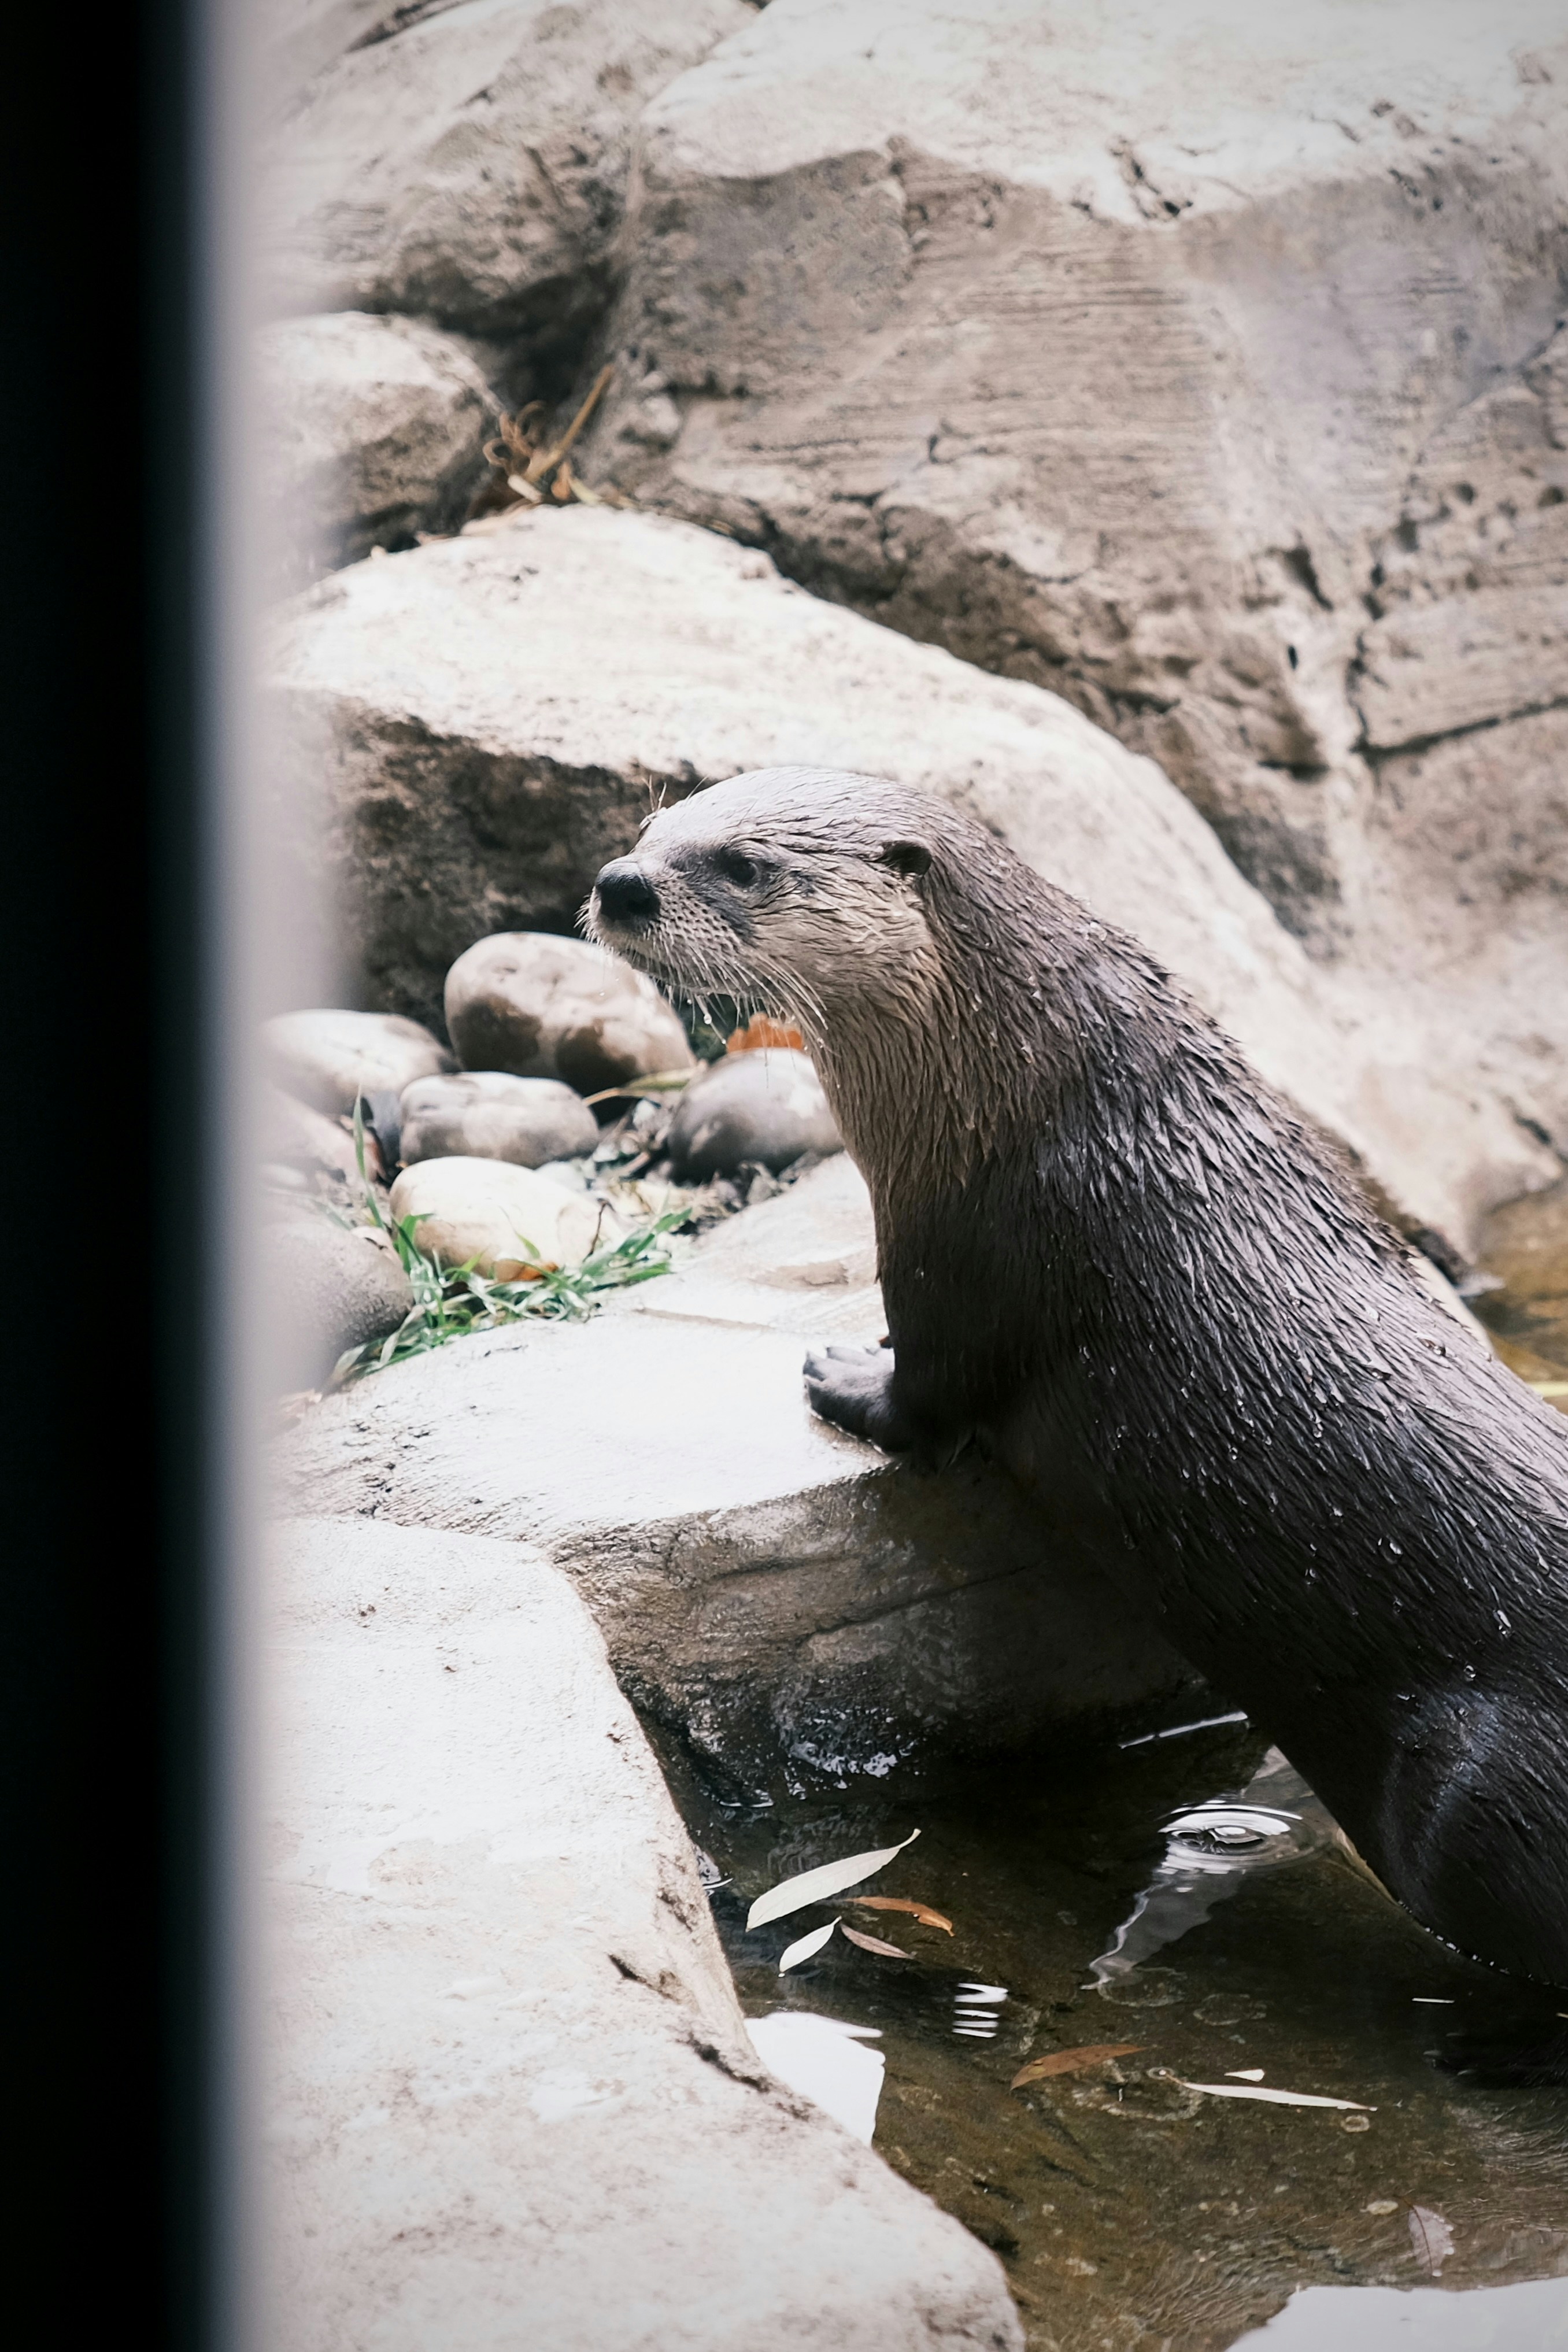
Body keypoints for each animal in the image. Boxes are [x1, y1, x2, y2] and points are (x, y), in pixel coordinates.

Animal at [589, 766, 1568, 1985]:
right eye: (652, 827)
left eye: (742, 863)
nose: (618, 884)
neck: (1029, 1096)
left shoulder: (960, 1251)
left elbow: (932, 1393)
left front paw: (845, 1374)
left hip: (1484, 1805)